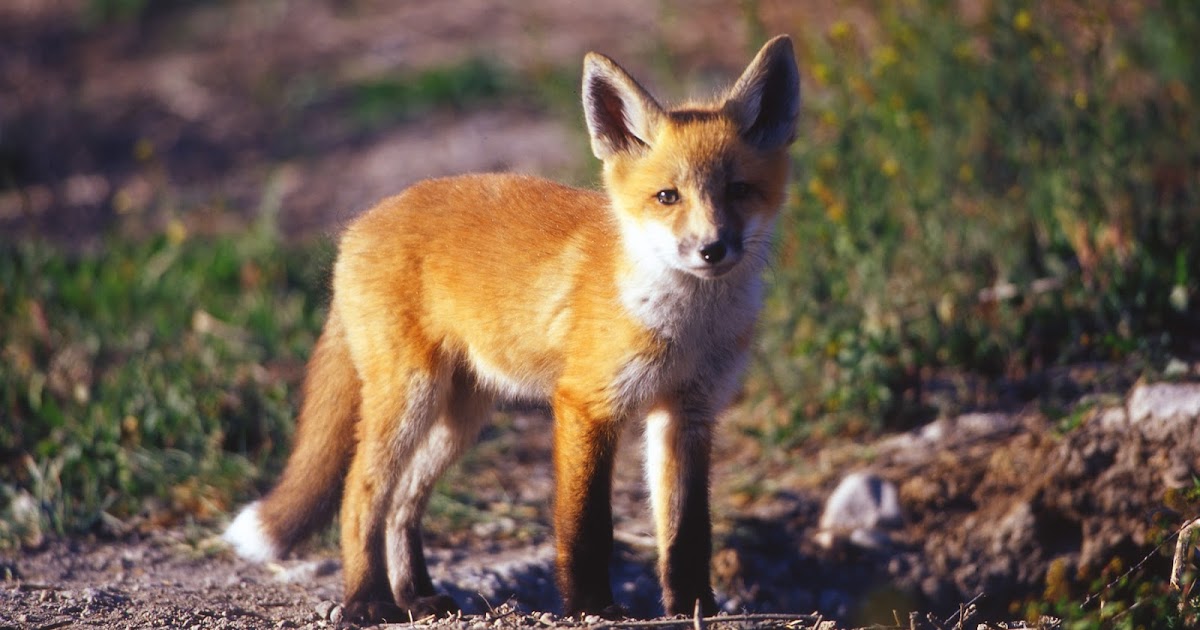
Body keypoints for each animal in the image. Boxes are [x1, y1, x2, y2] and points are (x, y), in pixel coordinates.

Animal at [223, 36, 800, 622]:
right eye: (668, 196)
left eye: (739, 190)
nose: (713, 249)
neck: (686, 328)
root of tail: (360, 223)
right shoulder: (585, 403)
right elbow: (588, 525)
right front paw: (592, 606)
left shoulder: (689, 413)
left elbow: (688, 530)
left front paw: (693, 607)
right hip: (411, 398)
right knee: (361, 493)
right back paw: (367, 600)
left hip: (462, 415)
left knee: (404, 504)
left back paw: (417, 595)